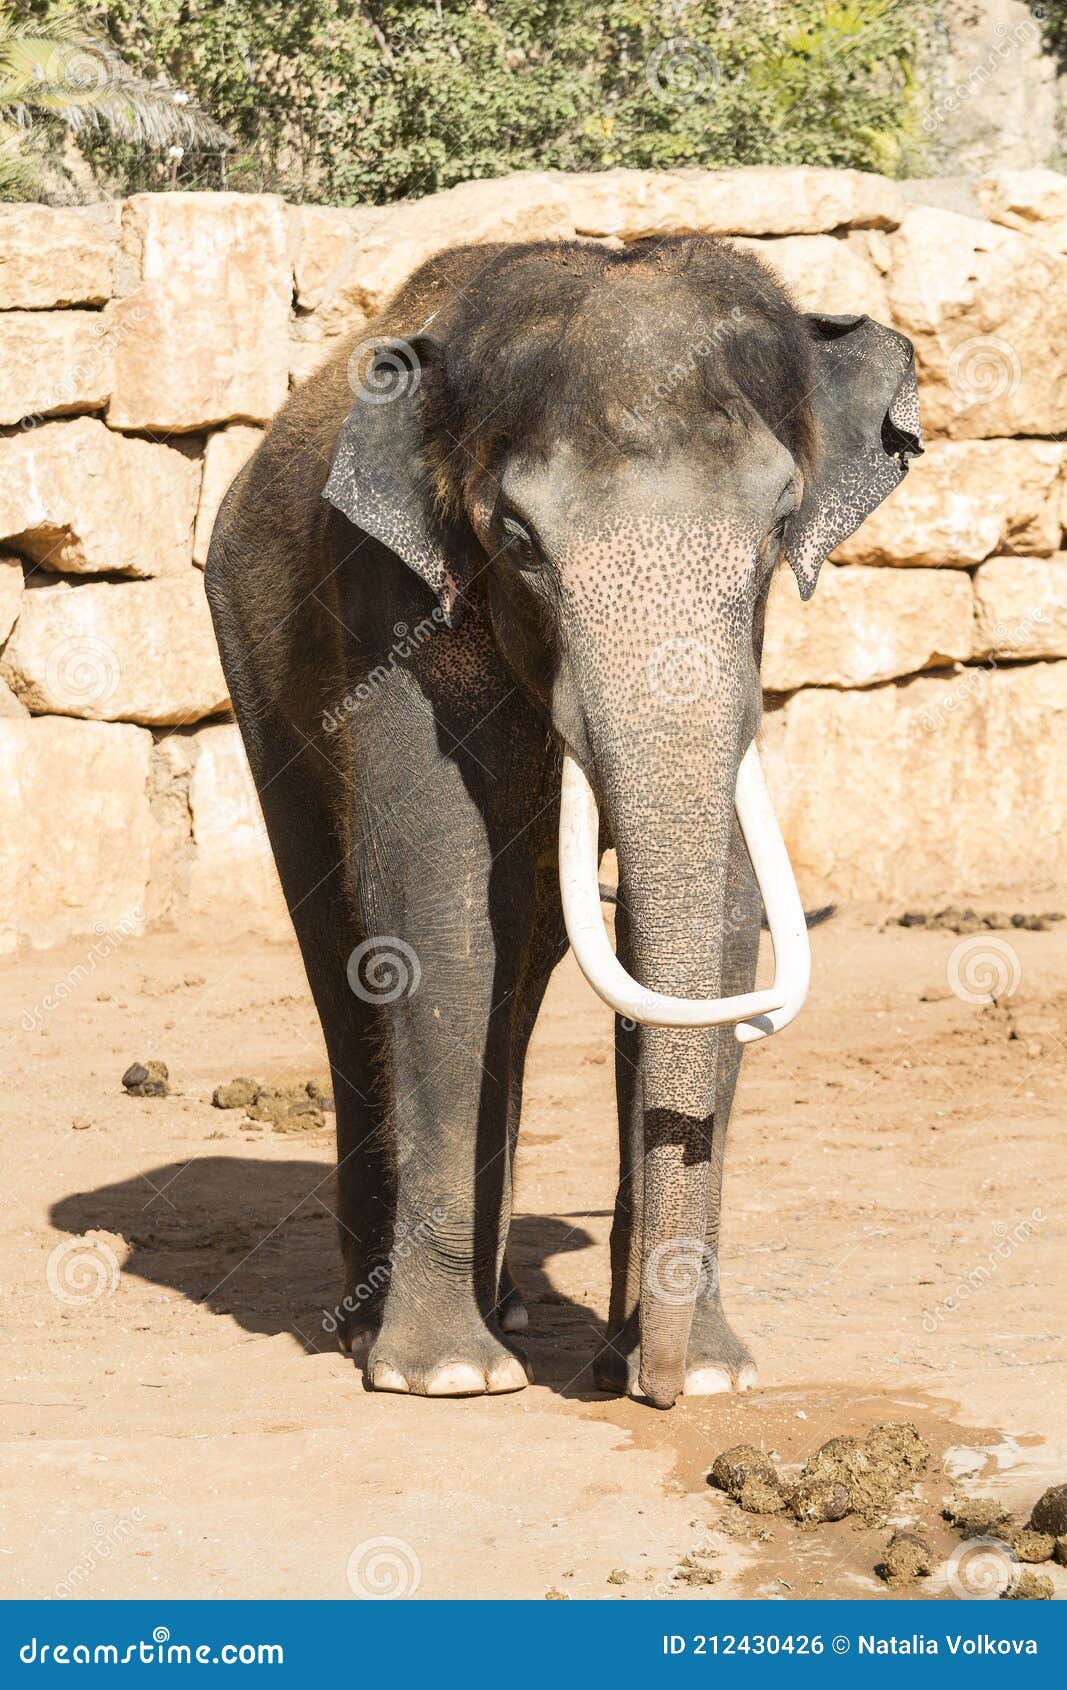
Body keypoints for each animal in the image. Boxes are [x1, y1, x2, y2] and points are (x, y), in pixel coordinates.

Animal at [205, 234, 921, 1410]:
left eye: (779, 525)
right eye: (519, 540)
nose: (655, 1391)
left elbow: (722, 909)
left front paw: (711, 1375)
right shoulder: (387, 596)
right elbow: (439, 902)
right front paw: (446, 1378)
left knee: (527, 956)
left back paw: (510, 1308)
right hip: (248, 655)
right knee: (342, 947)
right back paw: (377, 1331)